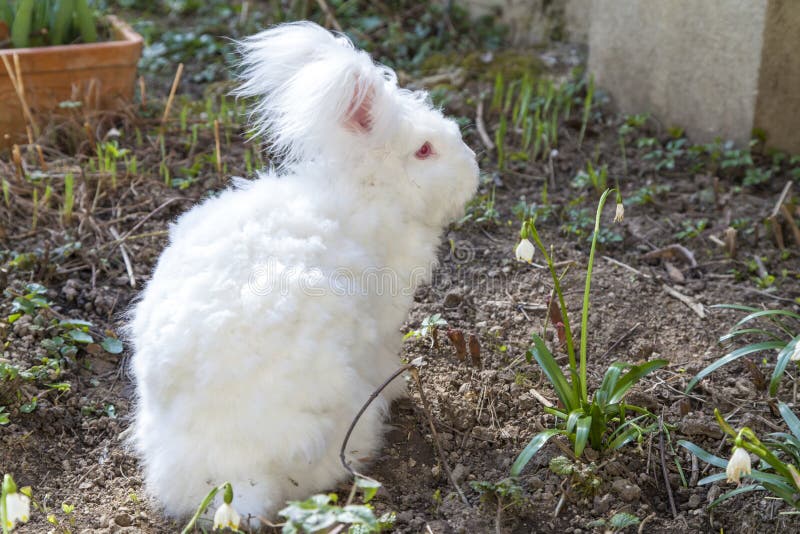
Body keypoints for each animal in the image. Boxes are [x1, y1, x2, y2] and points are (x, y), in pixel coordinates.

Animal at [128, 21, 479, 524]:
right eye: (425, 150)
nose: (473, 169)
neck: (369, 190)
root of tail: (235, 475)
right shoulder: (382, 318)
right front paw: (398, 385)